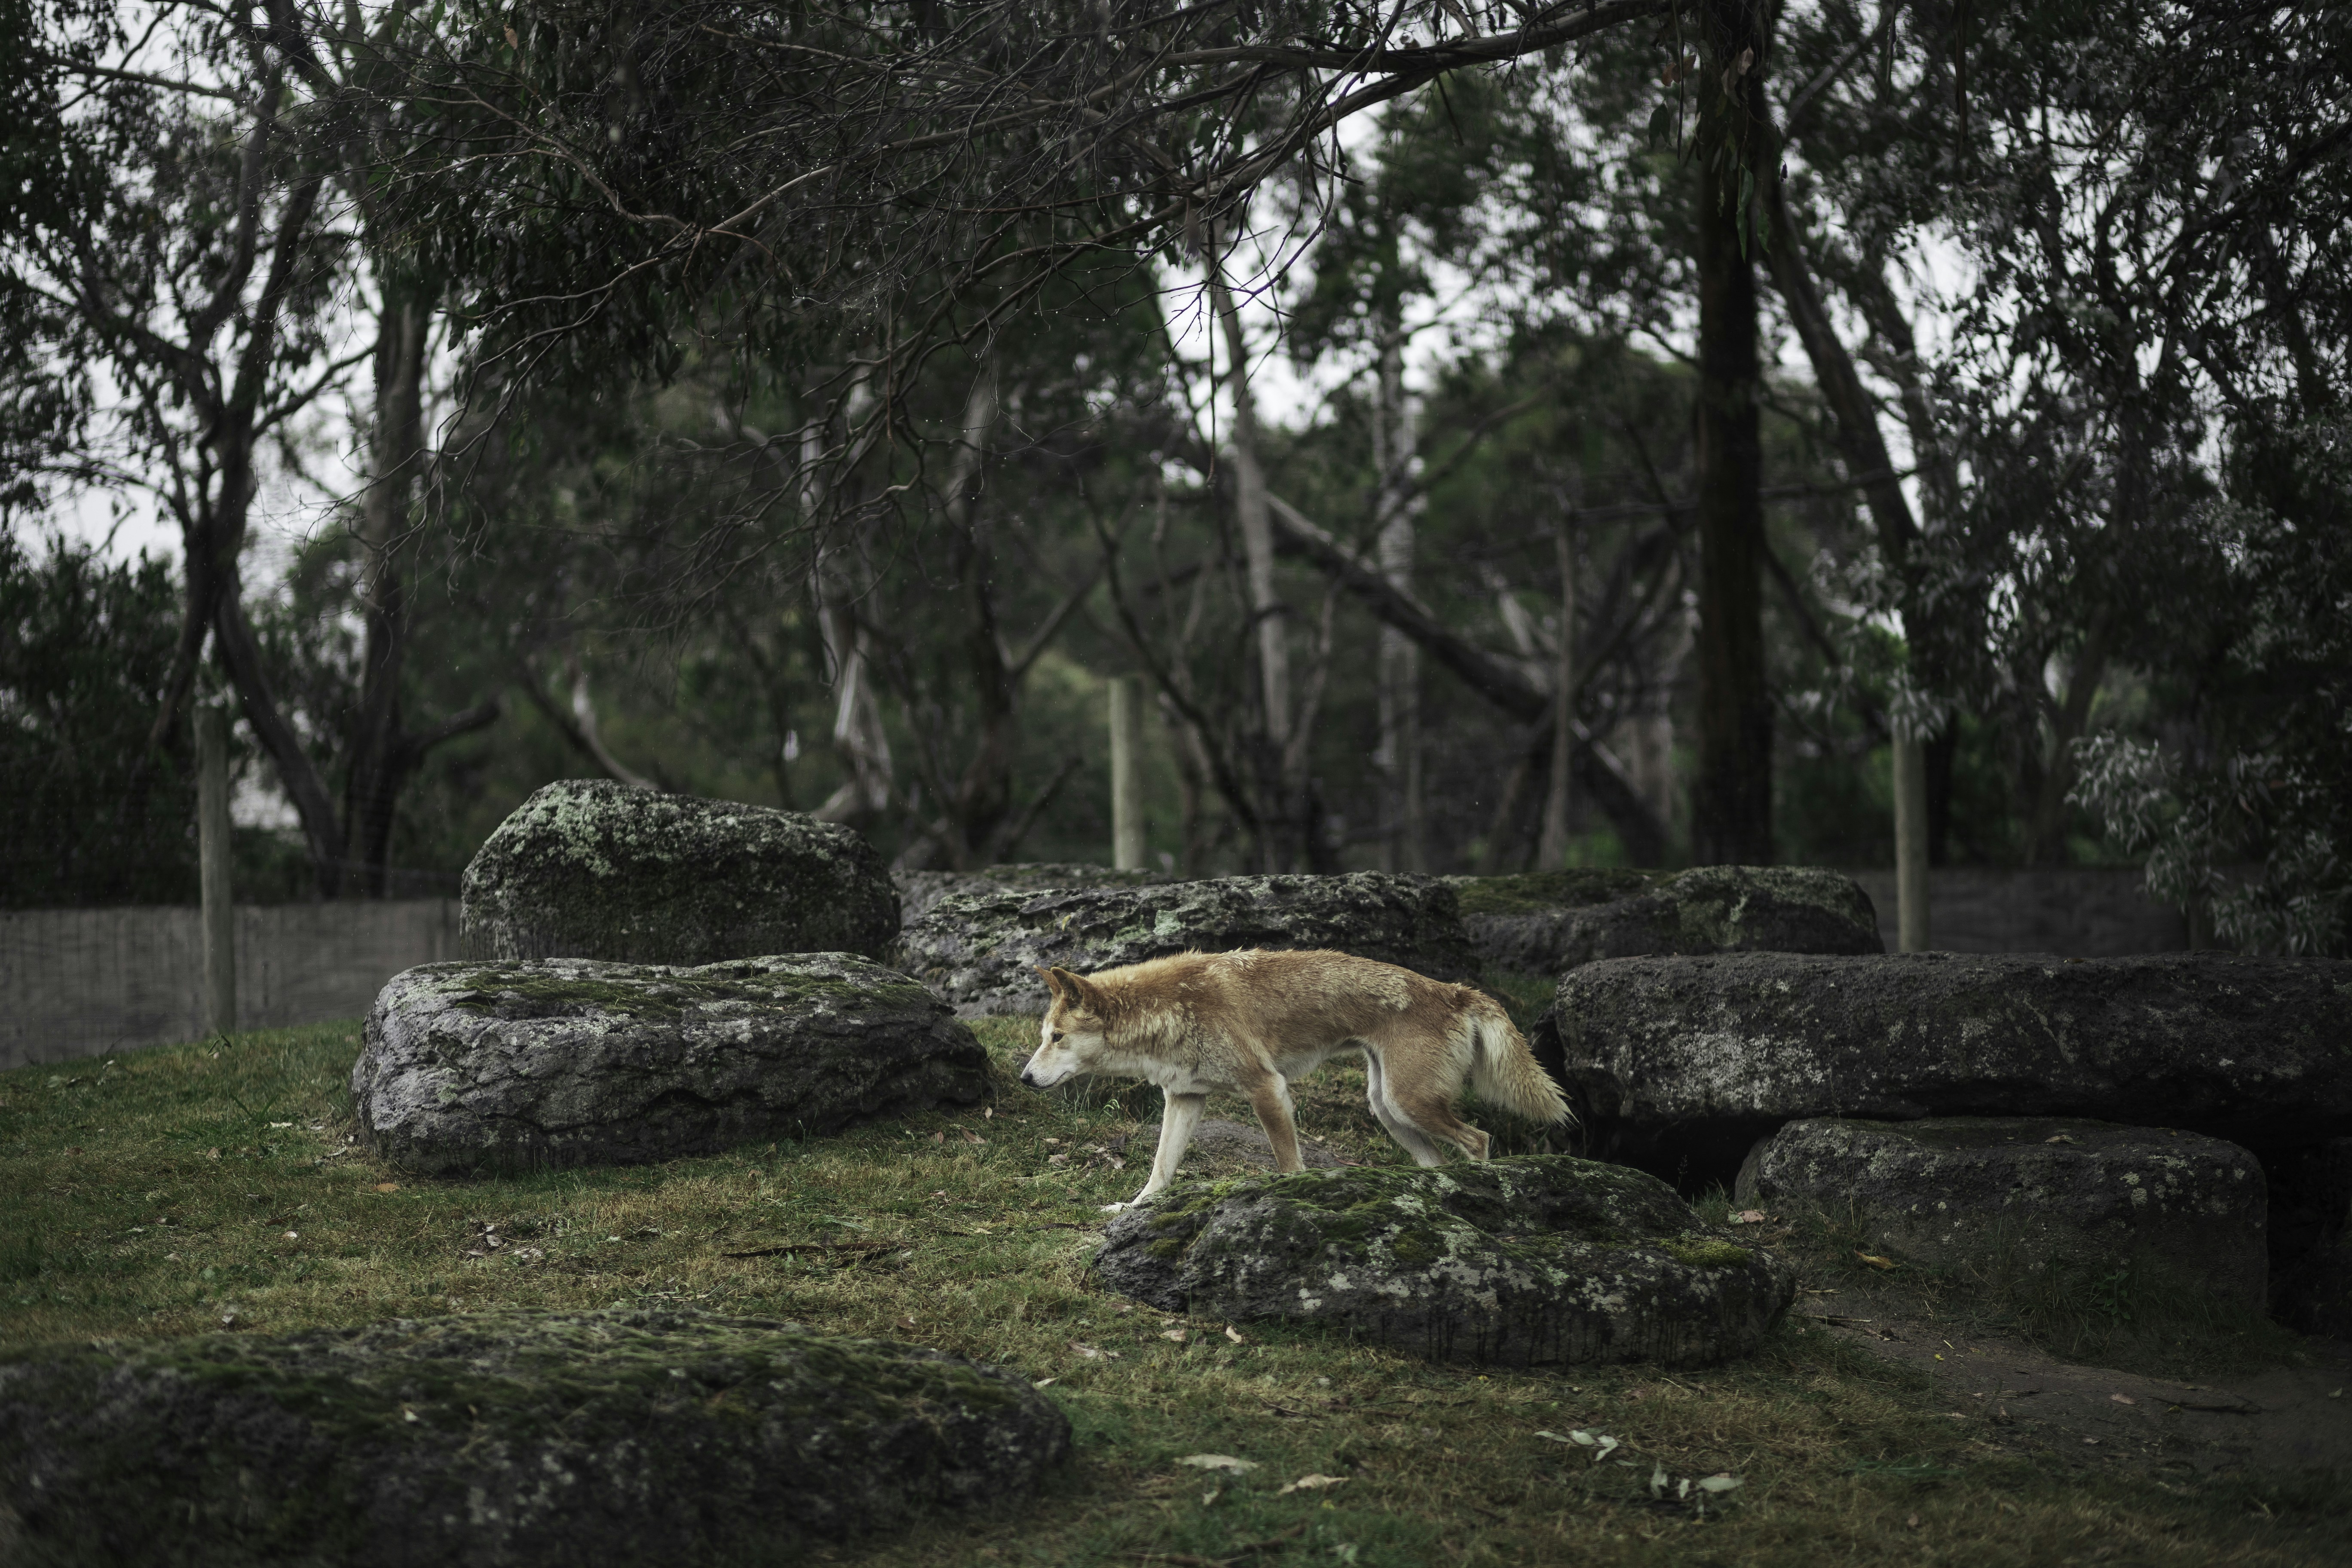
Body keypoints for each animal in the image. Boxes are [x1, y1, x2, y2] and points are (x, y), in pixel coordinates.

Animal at [1017, 948, 1571, 1211]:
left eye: (1057, 1038)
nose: (1024, 1078)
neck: (1171, 1009)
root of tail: (1458, 991)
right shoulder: (1185, 1098)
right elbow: (1160, 1171)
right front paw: (1128, 1210)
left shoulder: (1268, 1088)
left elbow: (1288, 1165)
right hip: (1390, 1110)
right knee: (1439, 1160)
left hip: (1410, 1103)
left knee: (1479, 1140)